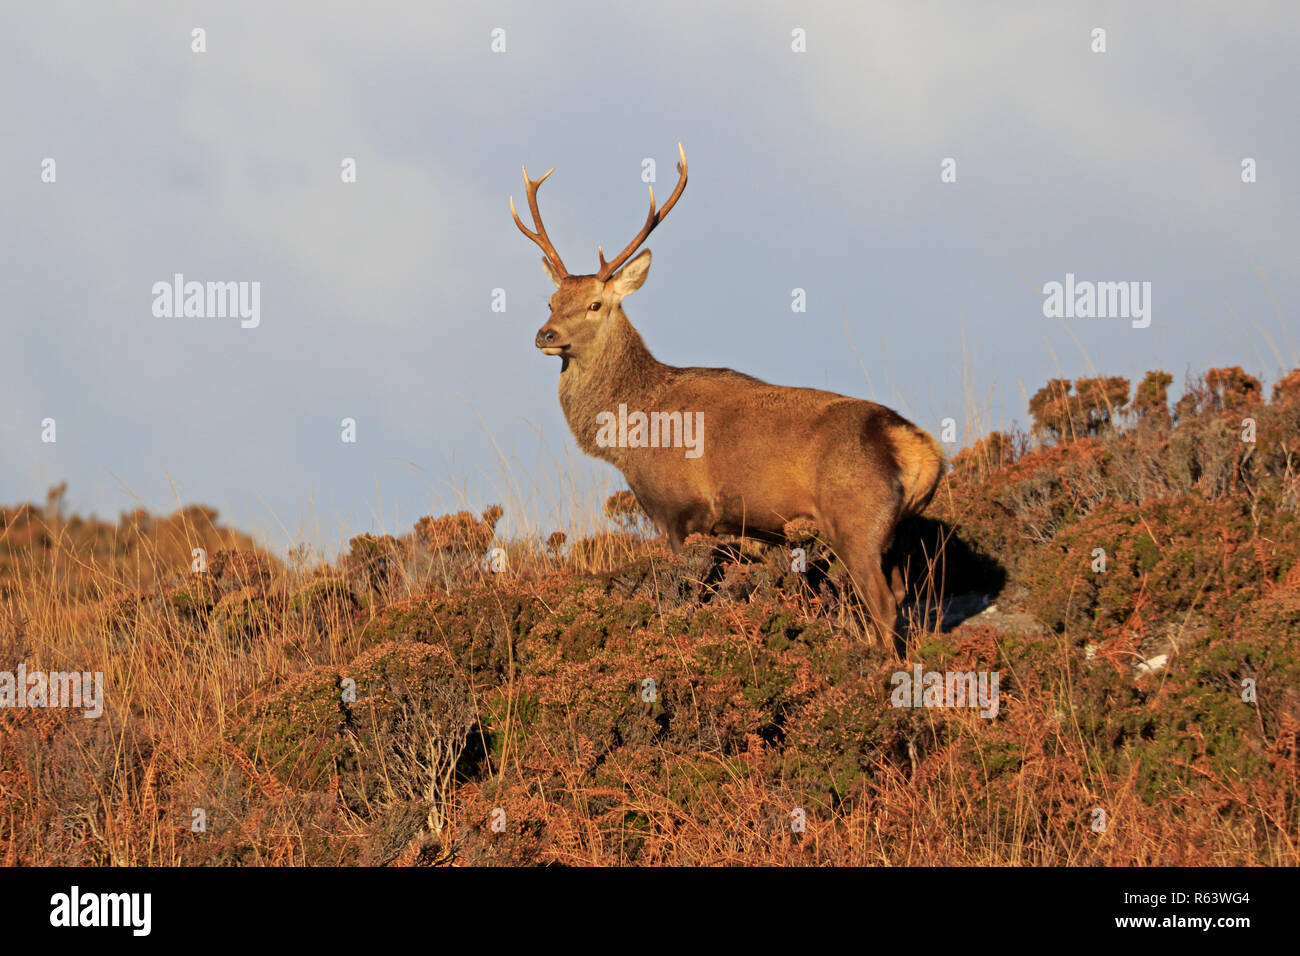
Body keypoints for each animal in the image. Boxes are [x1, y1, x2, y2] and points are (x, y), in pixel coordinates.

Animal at [511, 143, 945, 649]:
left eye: (595, 304)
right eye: (551, 302)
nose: (545, 335)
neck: (633, 430)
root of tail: (918, 448)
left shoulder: (682, 511)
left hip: (856, 518)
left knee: (883, 601)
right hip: (897, 529)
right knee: (903, 593)